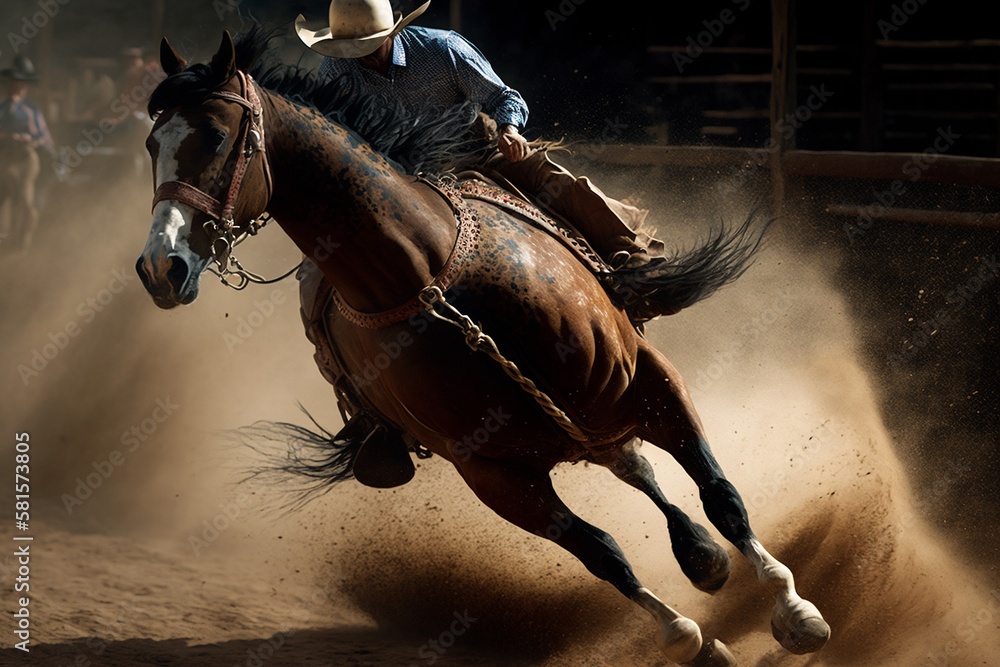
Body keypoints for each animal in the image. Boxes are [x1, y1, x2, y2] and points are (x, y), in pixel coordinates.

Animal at [135, 29, 830, 666]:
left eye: (215, 137)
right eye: (150, 144)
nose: (160, 269)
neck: (433, 278)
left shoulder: (652, 380)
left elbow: (723, 496)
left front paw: (797, 613)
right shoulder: (493, 473)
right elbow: (603, 553)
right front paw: (690, 637)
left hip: (605, 407)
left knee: (642, 467)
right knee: (630, 468)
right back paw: (699, 558)